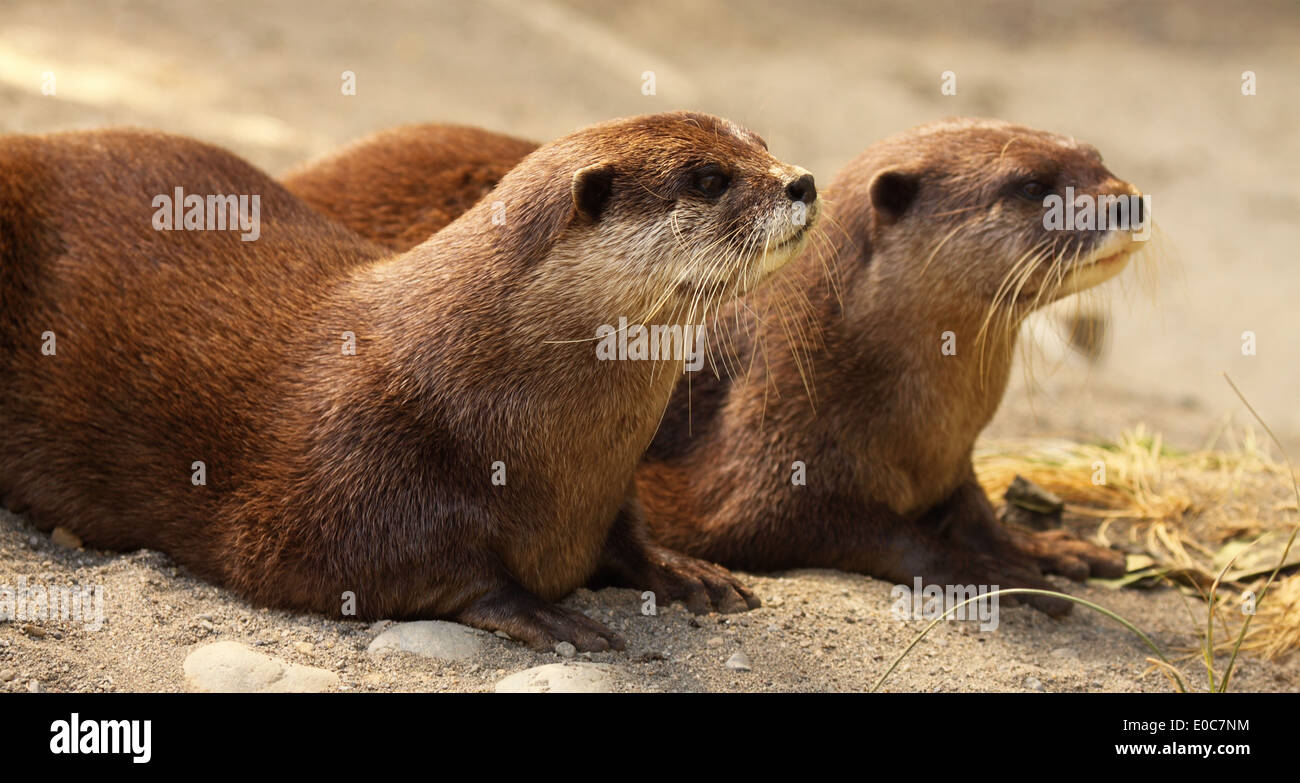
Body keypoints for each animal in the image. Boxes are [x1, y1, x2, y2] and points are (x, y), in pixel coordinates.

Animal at [0, 112, 819, 651]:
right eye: (708, 178)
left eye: (762, 144)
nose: (804, 181)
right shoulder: (338, 477)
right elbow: (389, 564)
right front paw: (542, 611)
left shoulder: (610, 485)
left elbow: (629, 534)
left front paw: (687, 572)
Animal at [279, 118, 1134, 616]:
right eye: (1032, 185)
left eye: (1098, 158)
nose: (1129, 200)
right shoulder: (771, 460)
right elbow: (884, 536)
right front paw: (1004, 575)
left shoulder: (951, 462)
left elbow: (976, 508)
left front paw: (1053, 550)